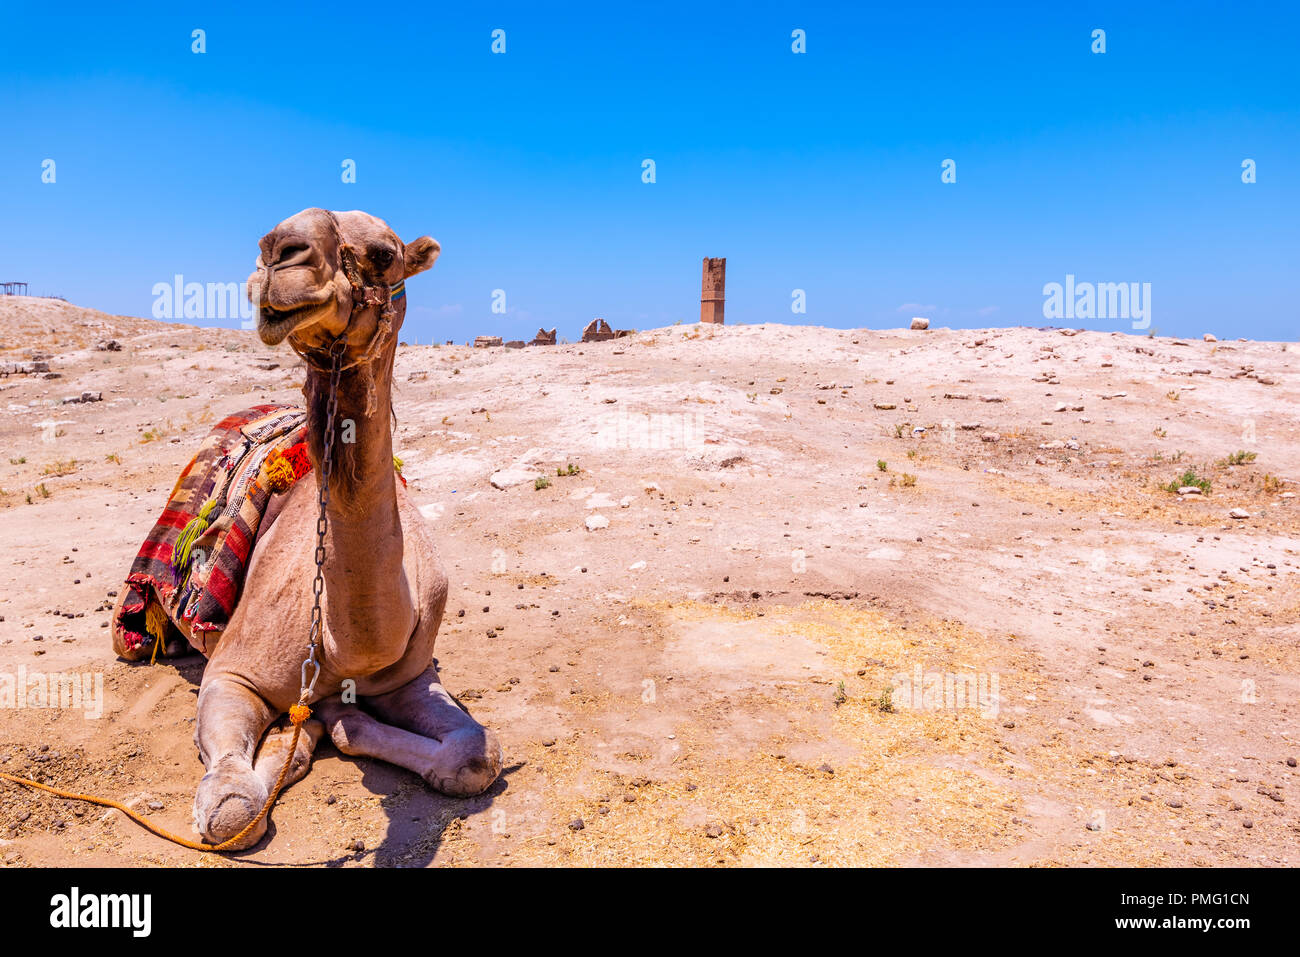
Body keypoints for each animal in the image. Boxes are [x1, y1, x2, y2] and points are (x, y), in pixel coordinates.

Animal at [113, 208, 502, 849]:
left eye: (383, 254)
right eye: (268, 245)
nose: (278, 253)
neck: (344, 649)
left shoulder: (409, 677)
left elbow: (476, 753)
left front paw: (337, 723)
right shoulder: (232, 673)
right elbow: (233, 810)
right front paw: (295, 742)